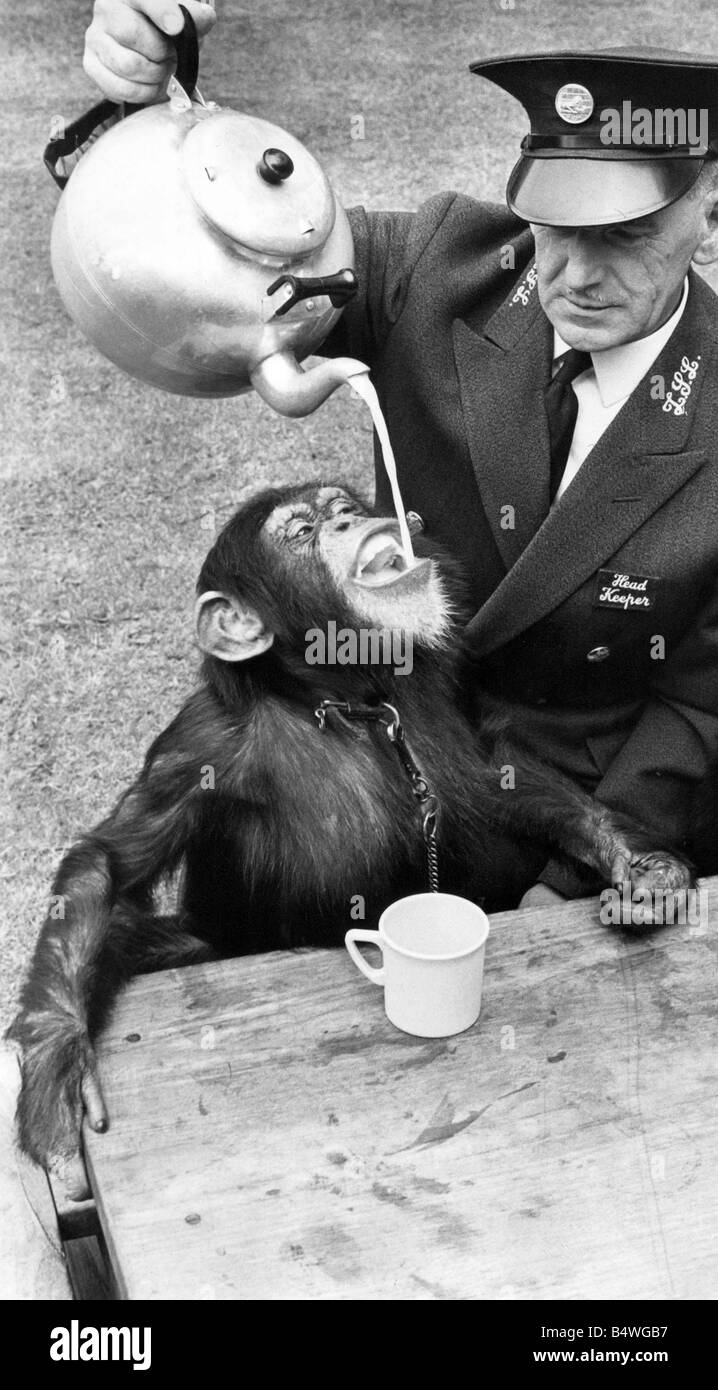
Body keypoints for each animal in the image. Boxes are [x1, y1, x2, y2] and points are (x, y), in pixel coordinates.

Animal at [7, 482, 693, 1198]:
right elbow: (112, 862)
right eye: (302, 533)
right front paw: (56, 1071)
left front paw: (641, 866)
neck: (349, 698)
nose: (344, 521)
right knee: (118, 935)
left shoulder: (434, 687)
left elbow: (495, 775)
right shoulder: (200, 747)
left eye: (340, 506)